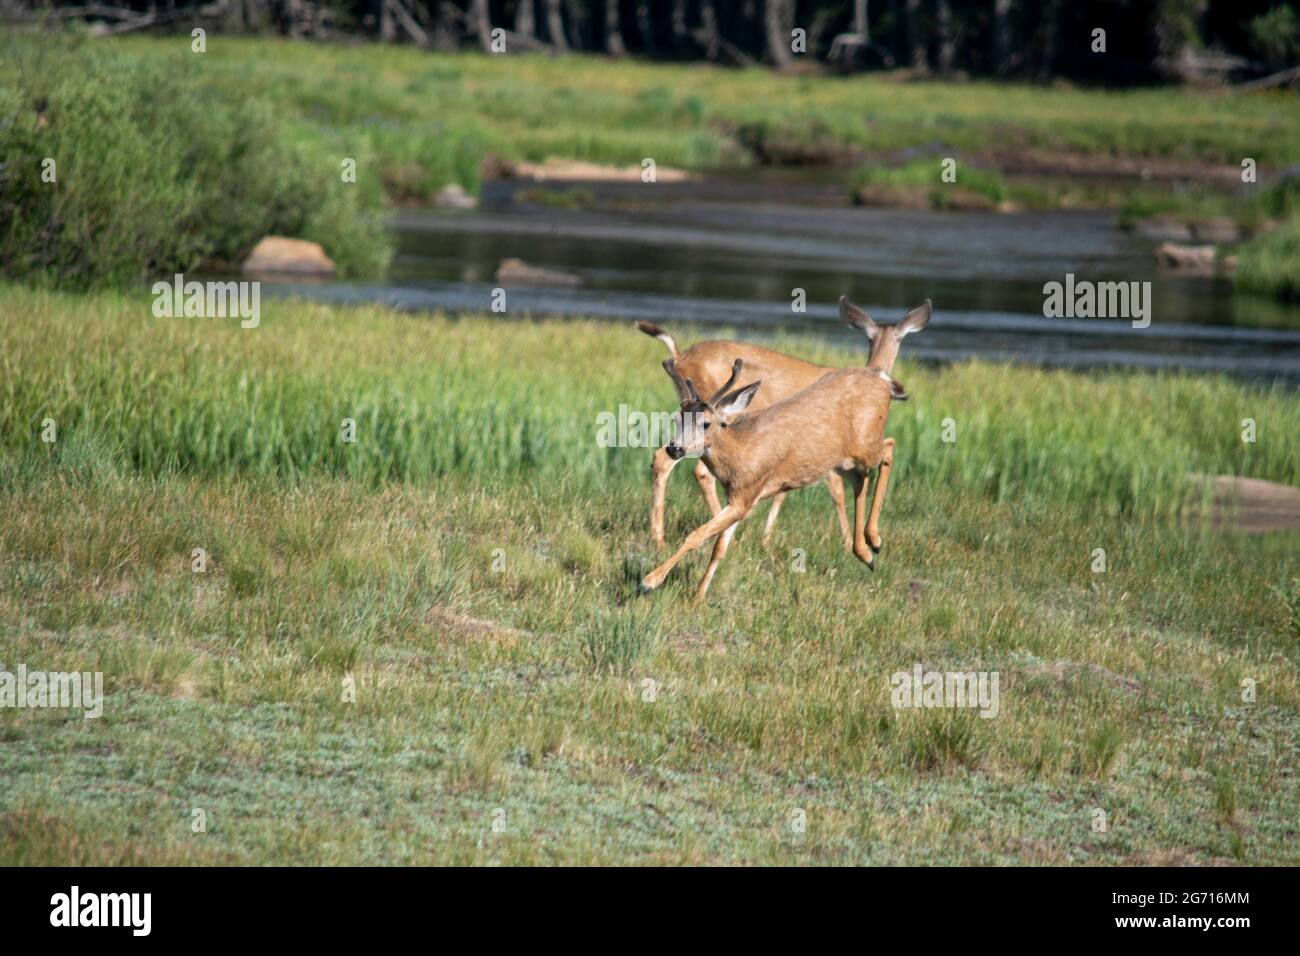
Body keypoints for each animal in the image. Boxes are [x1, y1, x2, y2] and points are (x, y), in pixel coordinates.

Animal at [639, 297, 931, 602]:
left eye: (706, 422)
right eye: (677, 419)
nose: (675, 448)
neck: (740, 453)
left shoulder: (745, 496)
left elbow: (698, 536)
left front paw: (649, 582)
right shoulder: (741, 498)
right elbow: (718, 546)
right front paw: (697, 598)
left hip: (863, 447)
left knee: (888, 448)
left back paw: (872, 541)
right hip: (847, 459)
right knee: (863, 477)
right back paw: (866, 550)